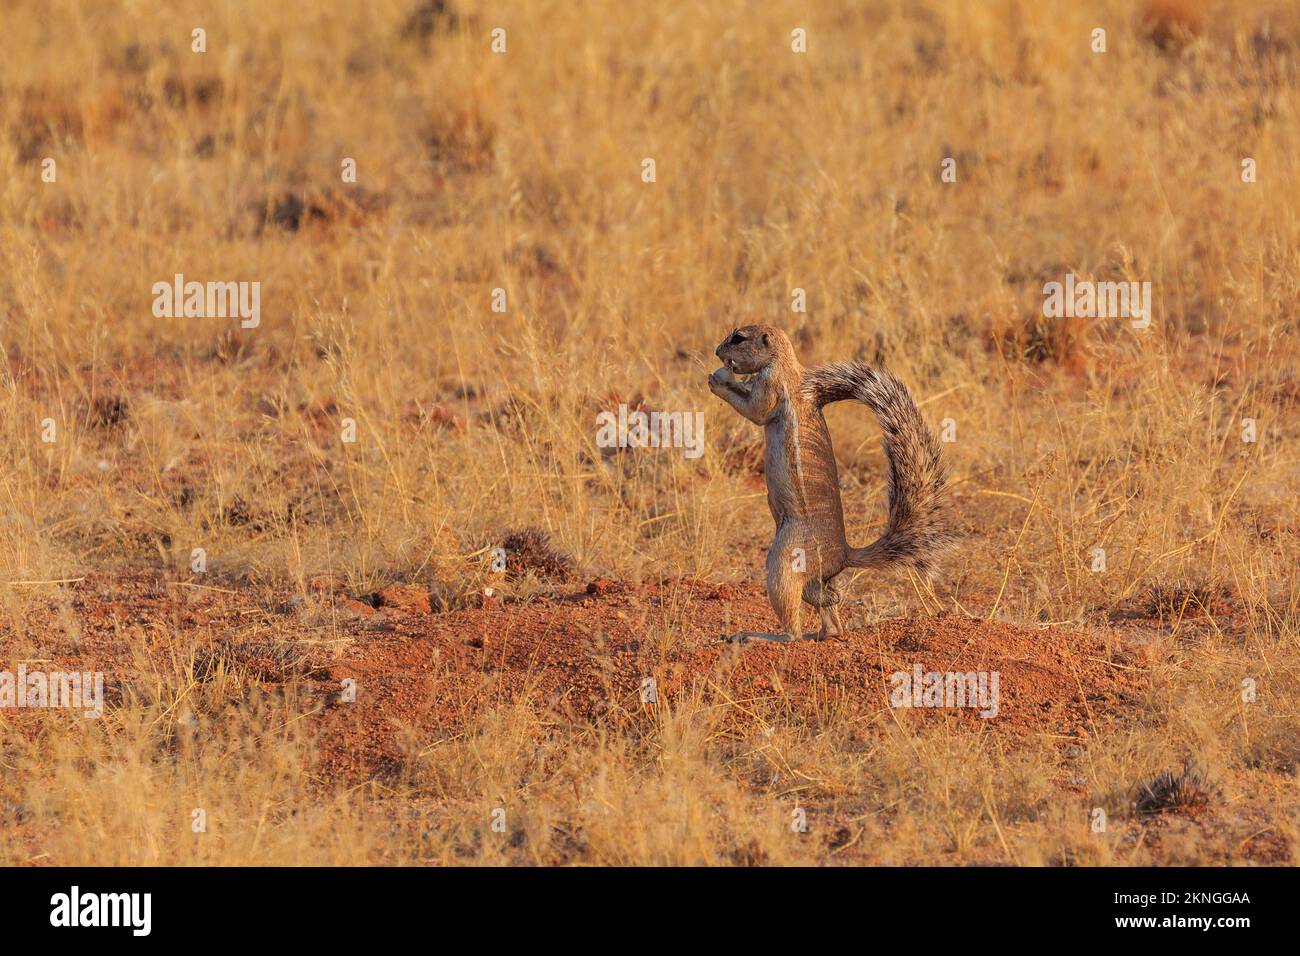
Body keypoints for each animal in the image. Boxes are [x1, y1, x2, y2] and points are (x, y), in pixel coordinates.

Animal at [708, 324, 953, 642]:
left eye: (738, 338)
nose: (717, 352)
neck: (785, 363)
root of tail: (845, 554)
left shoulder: (770, 386)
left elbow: (755, 411)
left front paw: (717, 381)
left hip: (784, 561)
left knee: (793, 630)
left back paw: (759, 636)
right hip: (821, 579)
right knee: (828, 613)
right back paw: (822, 630)